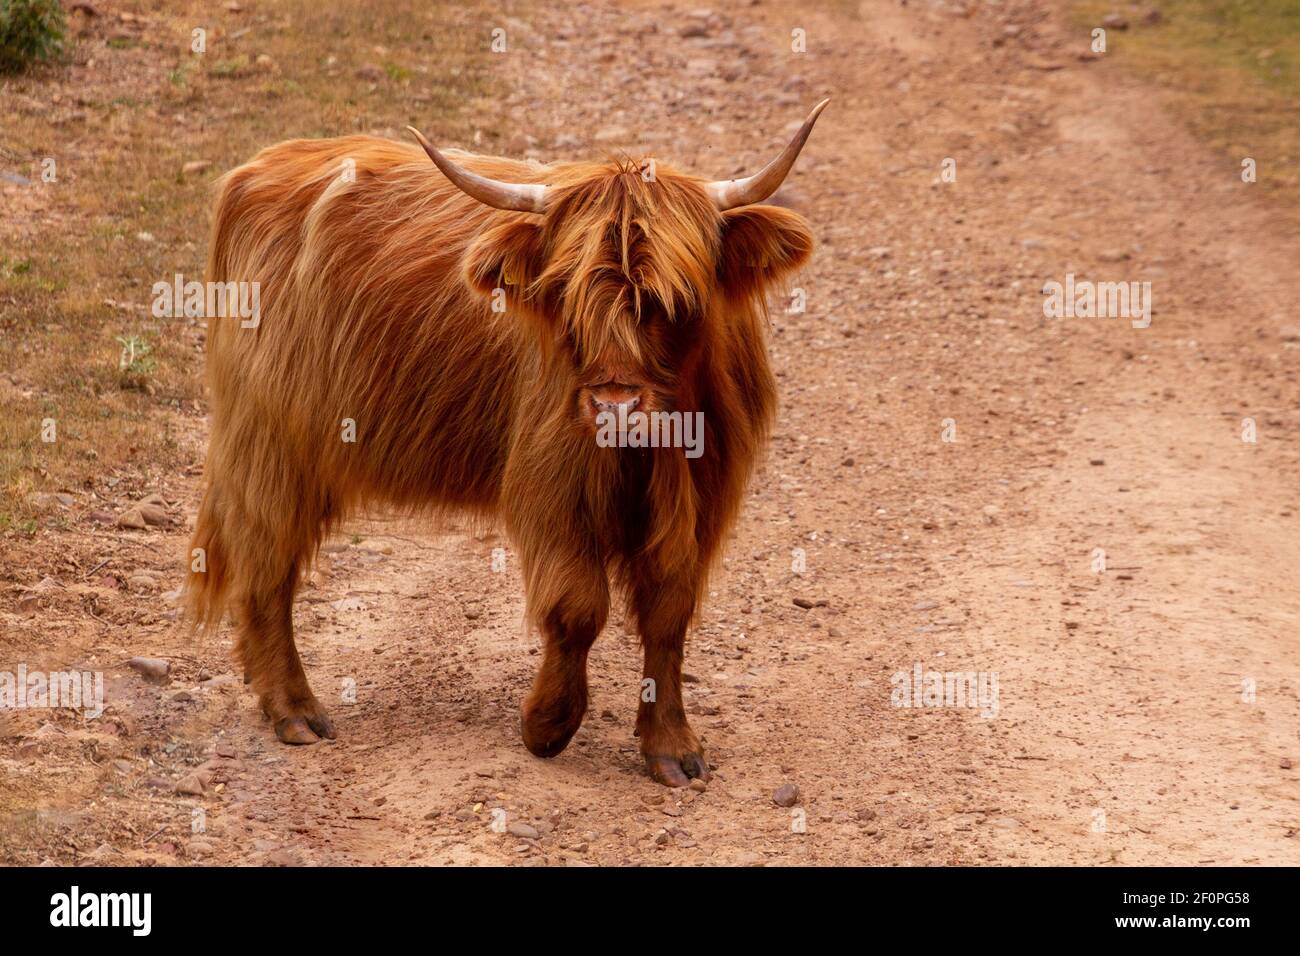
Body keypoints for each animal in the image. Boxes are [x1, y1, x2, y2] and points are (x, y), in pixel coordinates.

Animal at [185, 101, 827, 786]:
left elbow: (669, 611)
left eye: (673, 299)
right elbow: (579, 607)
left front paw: (671, 747)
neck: (653, 448)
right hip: (272, 441)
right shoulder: (555, 480)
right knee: (266, 564)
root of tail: (260, 166)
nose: (615, 408)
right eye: (565, 297)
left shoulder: (703, 496)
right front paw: (546, 725)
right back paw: (295, 711)